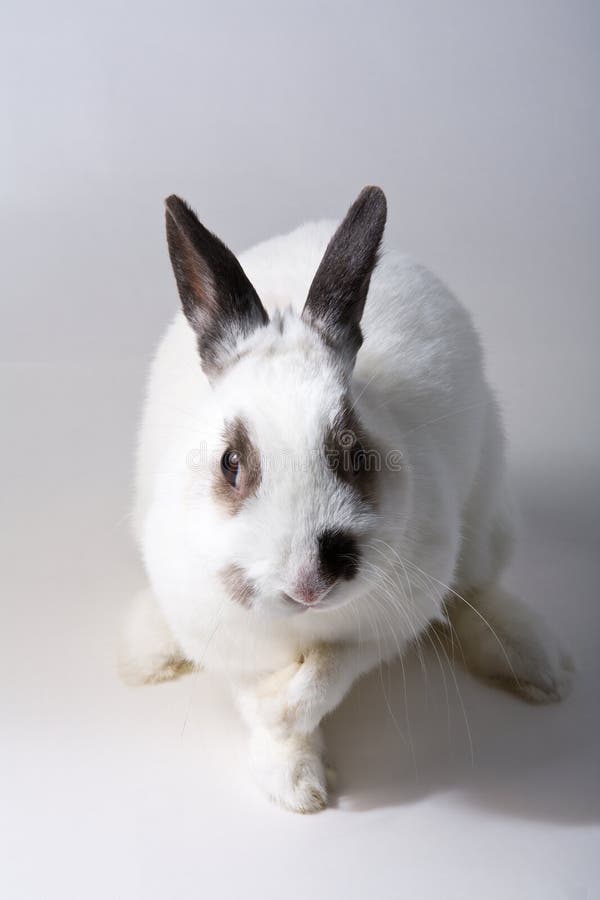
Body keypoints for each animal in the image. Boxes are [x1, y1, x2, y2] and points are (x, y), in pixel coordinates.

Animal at [120, 186, 572, 813]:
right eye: (230, 463)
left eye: (356, 455)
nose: (309, 582)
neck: (300, 623)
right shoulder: (225, 634)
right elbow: (258, 696)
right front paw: (295, 779)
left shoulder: (386, 621)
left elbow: (327, 673)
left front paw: (285, 719)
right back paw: (145, 654)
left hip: (487, 521)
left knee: (476, 591)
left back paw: (535, 664)